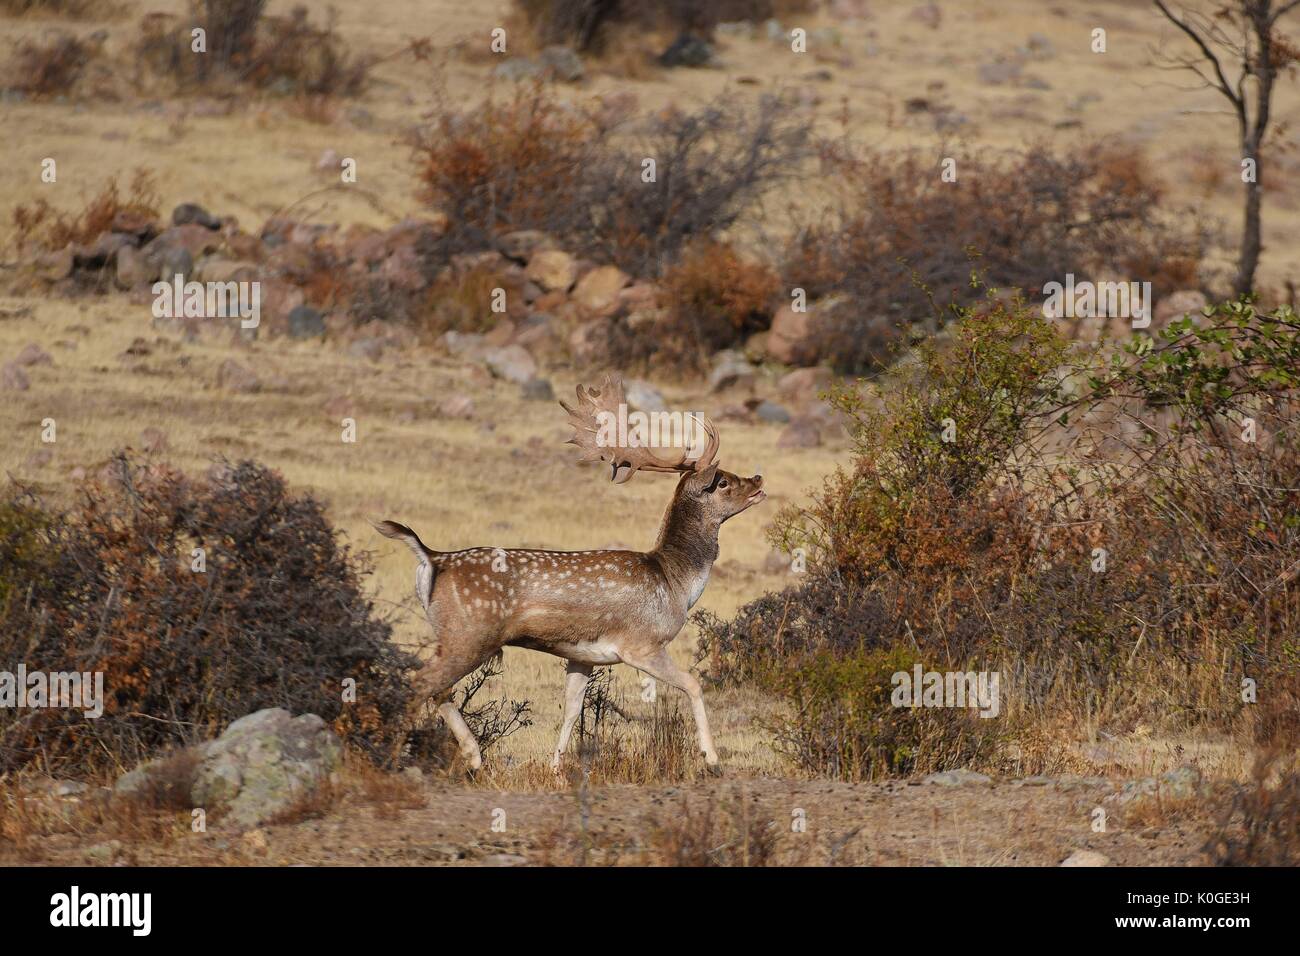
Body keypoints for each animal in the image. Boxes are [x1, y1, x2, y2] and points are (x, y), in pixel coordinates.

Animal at [375, 375, 765, 773]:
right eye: (721, 481)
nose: (757, 479)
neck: (676, 582)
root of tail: (432, 557)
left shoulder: (584, 656)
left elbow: (572, 709)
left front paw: (556, 767)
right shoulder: (641, 643)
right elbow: (692, 683)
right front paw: (712, 758)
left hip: (454, 636)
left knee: (437, 688)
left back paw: (473, 755)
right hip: (469, 633)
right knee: (420, 683)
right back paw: (392, 757)